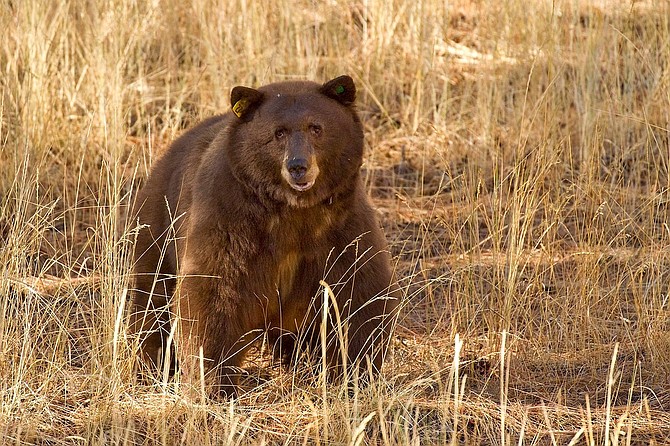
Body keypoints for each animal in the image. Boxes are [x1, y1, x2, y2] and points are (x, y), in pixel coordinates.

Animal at [129, 75, 398, 397]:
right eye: (278, 132)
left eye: (316, 127)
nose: (298, 166)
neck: (295, 211)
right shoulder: (232, 218)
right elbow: (214, 291)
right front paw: (215, 383)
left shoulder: (342, 227)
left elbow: (358, 292)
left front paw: (355, 374)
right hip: (161, 223)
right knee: (152, 296)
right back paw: (154, 365)